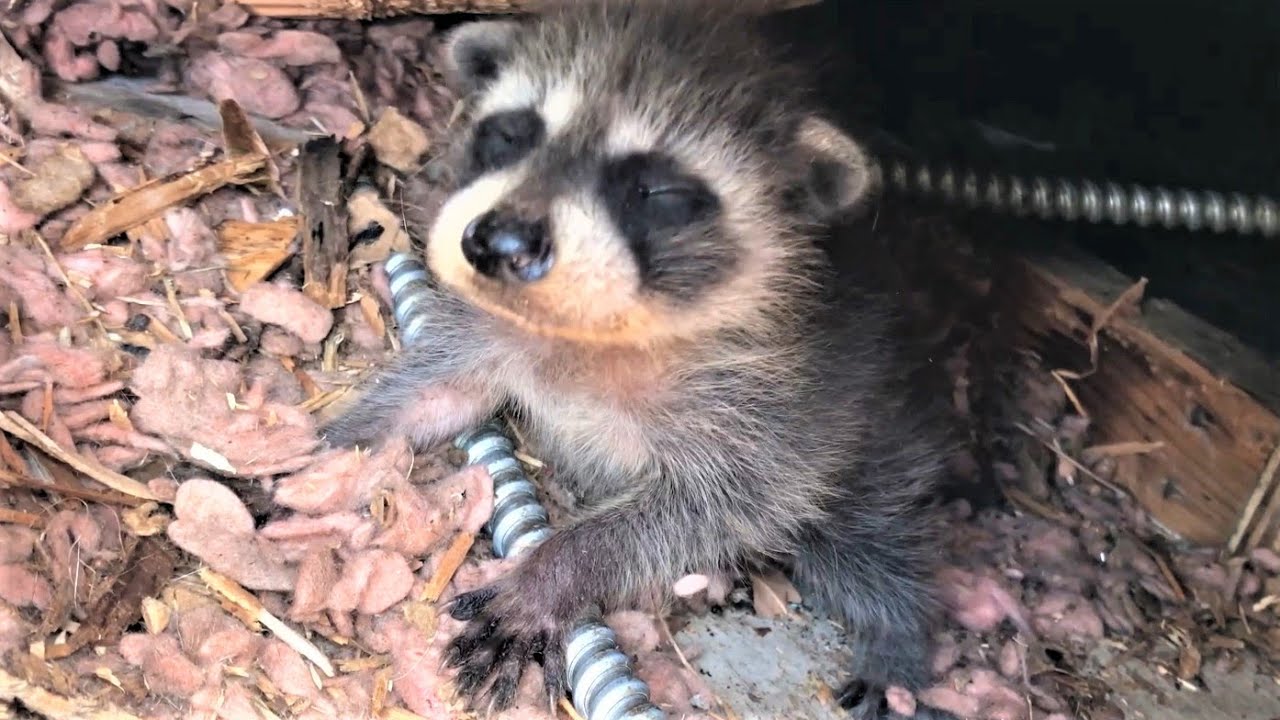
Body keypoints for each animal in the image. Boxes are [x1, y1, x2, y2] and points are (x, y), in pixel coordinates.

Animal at [323, 2, 952, 717]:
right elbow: (438, 391)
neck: (591, 331)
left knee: (871, 543)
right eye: (509, 134)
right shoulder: (492, 326)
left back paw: (897, 639)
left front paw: (554, 572)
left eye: (655, 190)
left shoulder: (775, 409)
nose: (498, 242)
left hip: (876, 447)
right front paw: (330, 446)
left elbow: (709, 509)